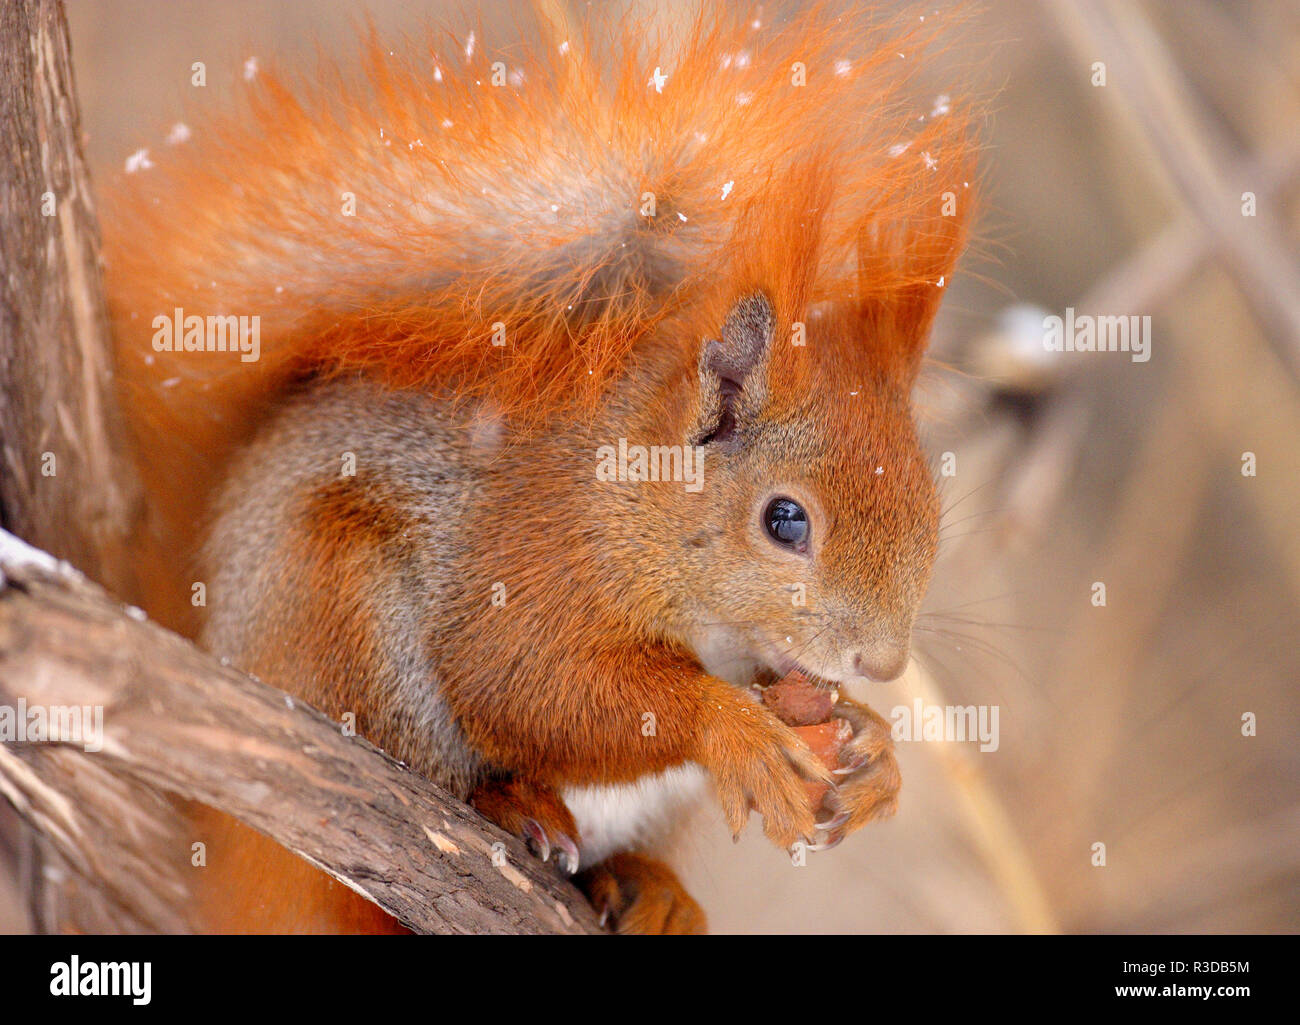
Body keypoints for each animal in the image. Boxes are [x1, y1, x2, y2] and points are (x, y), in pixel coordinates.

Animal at [101, 3, 977, 934]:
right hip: (342, 621)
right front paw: (732, 730)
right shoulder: (533, 564)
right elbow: (527, 683)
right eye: (785, 519)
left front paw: (875, 746)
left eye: (930, 508)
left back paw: (653, 888)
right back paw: (510, 802)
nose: (882, 664)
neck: (639, 503)